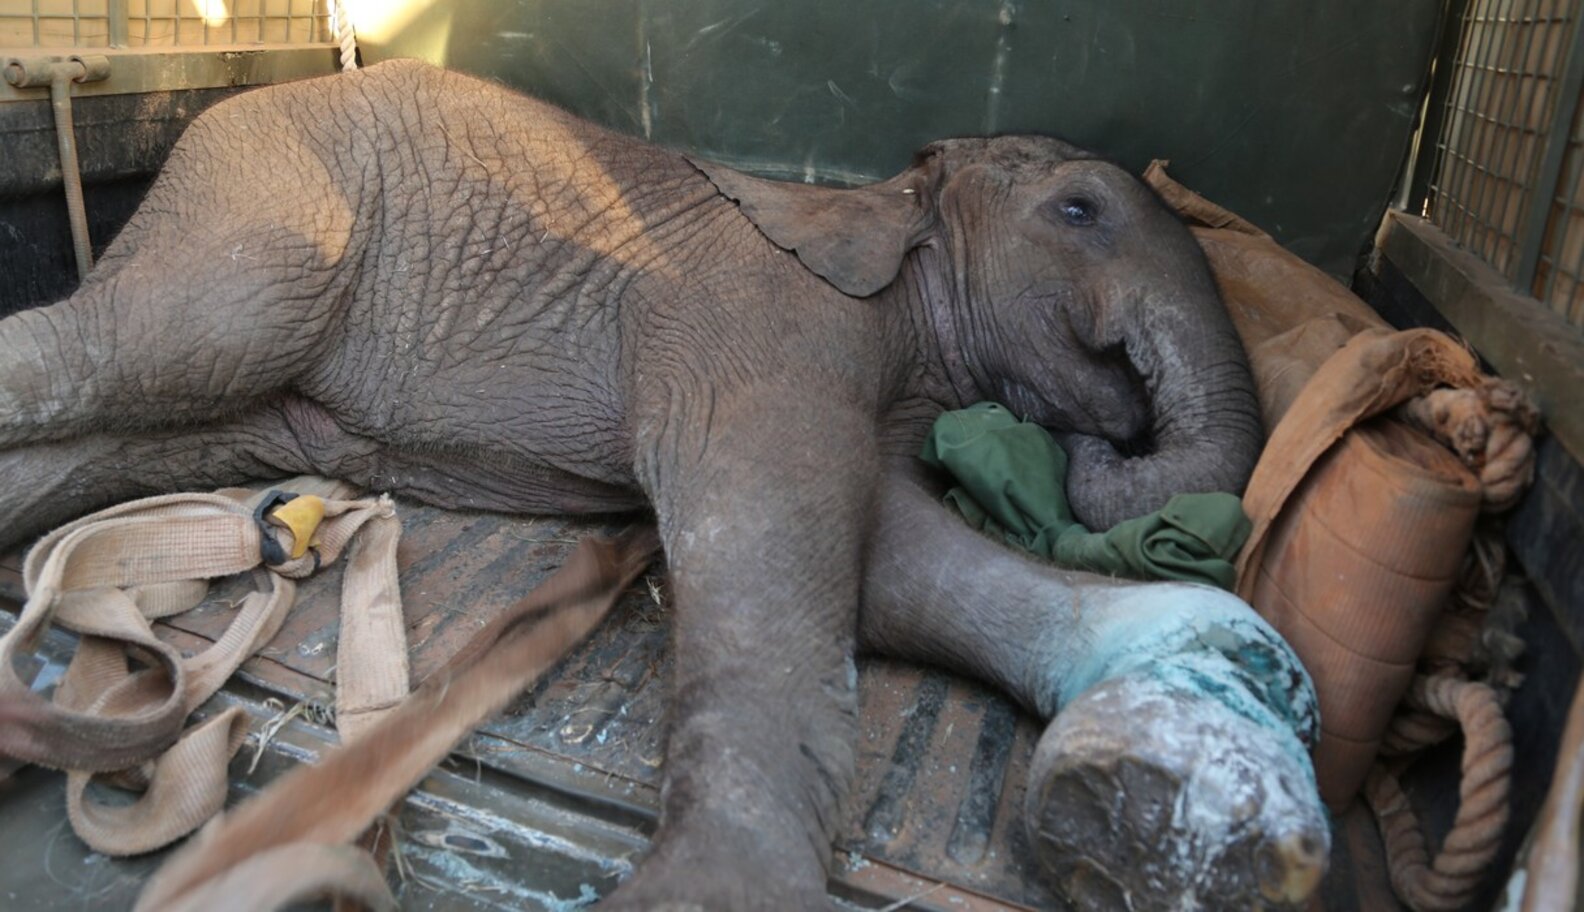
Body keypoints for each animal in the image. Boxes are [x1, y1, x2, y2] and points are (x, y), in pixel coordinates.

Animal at [0, 60, 1328, 910]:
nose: (1111, 445)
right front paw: (707, 895)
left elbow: (888, 566)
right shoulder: (761, 328)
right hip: (267, 219)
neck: (882, 209)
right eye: (1078, 209)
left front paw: (1164, 788)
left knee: (131, 436)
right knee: (126, 352)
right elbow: (770, 534)